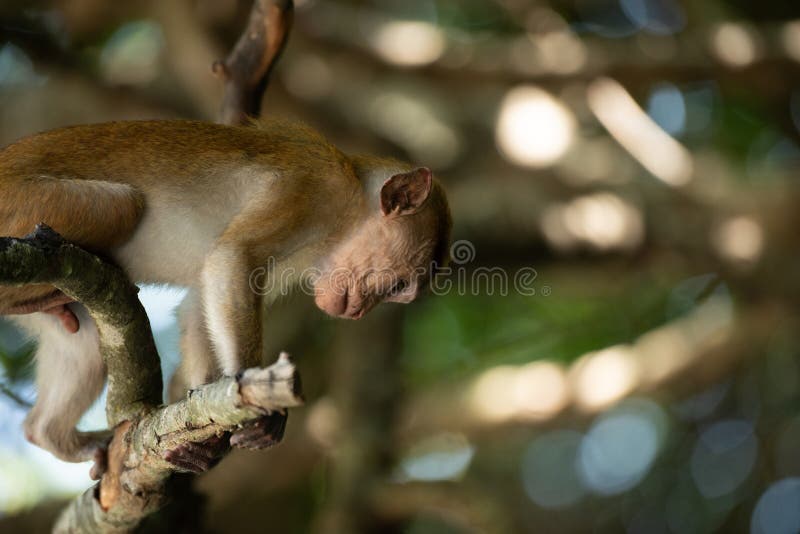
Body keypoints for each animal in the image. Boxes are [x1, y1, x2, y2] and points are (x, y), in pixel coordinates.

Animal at [0, 118, 452, 470]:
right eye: (398, 285)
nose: (358, 311)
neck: (351, 203)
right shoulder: (311, 190)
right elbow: (233, 257)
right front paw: (250, 387)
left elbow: (200, 300)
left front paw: (199, 432)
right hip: (21, 207)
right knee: (122, 206)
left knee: (86, 345)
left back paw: (49, 430)